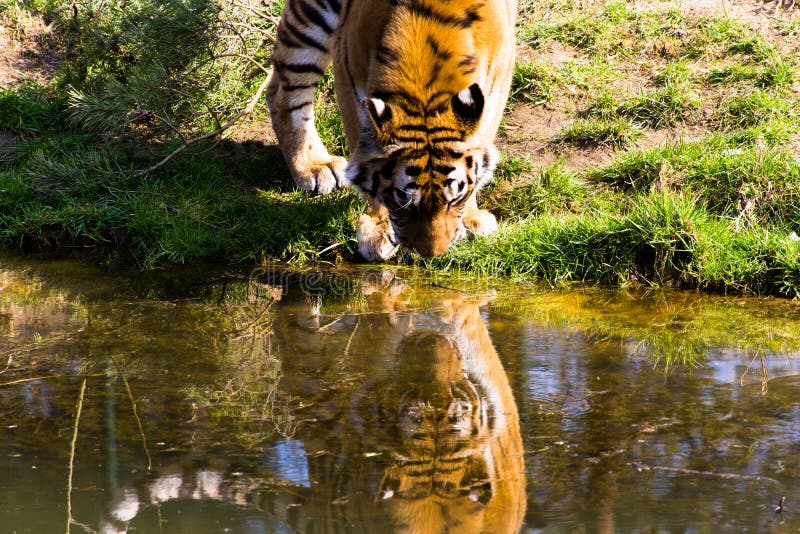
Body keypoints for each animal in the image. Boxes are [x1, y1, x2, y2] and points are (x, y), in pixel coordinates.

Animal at [267, 0, 517, 260]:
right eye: (401, 203)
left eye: (455, 199)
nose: (431, 254)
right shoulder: (348, 70)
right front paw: (377, 229)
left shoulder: (500, 72)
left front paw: (471, 217)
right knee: (283, 92)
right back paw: (313, 166)